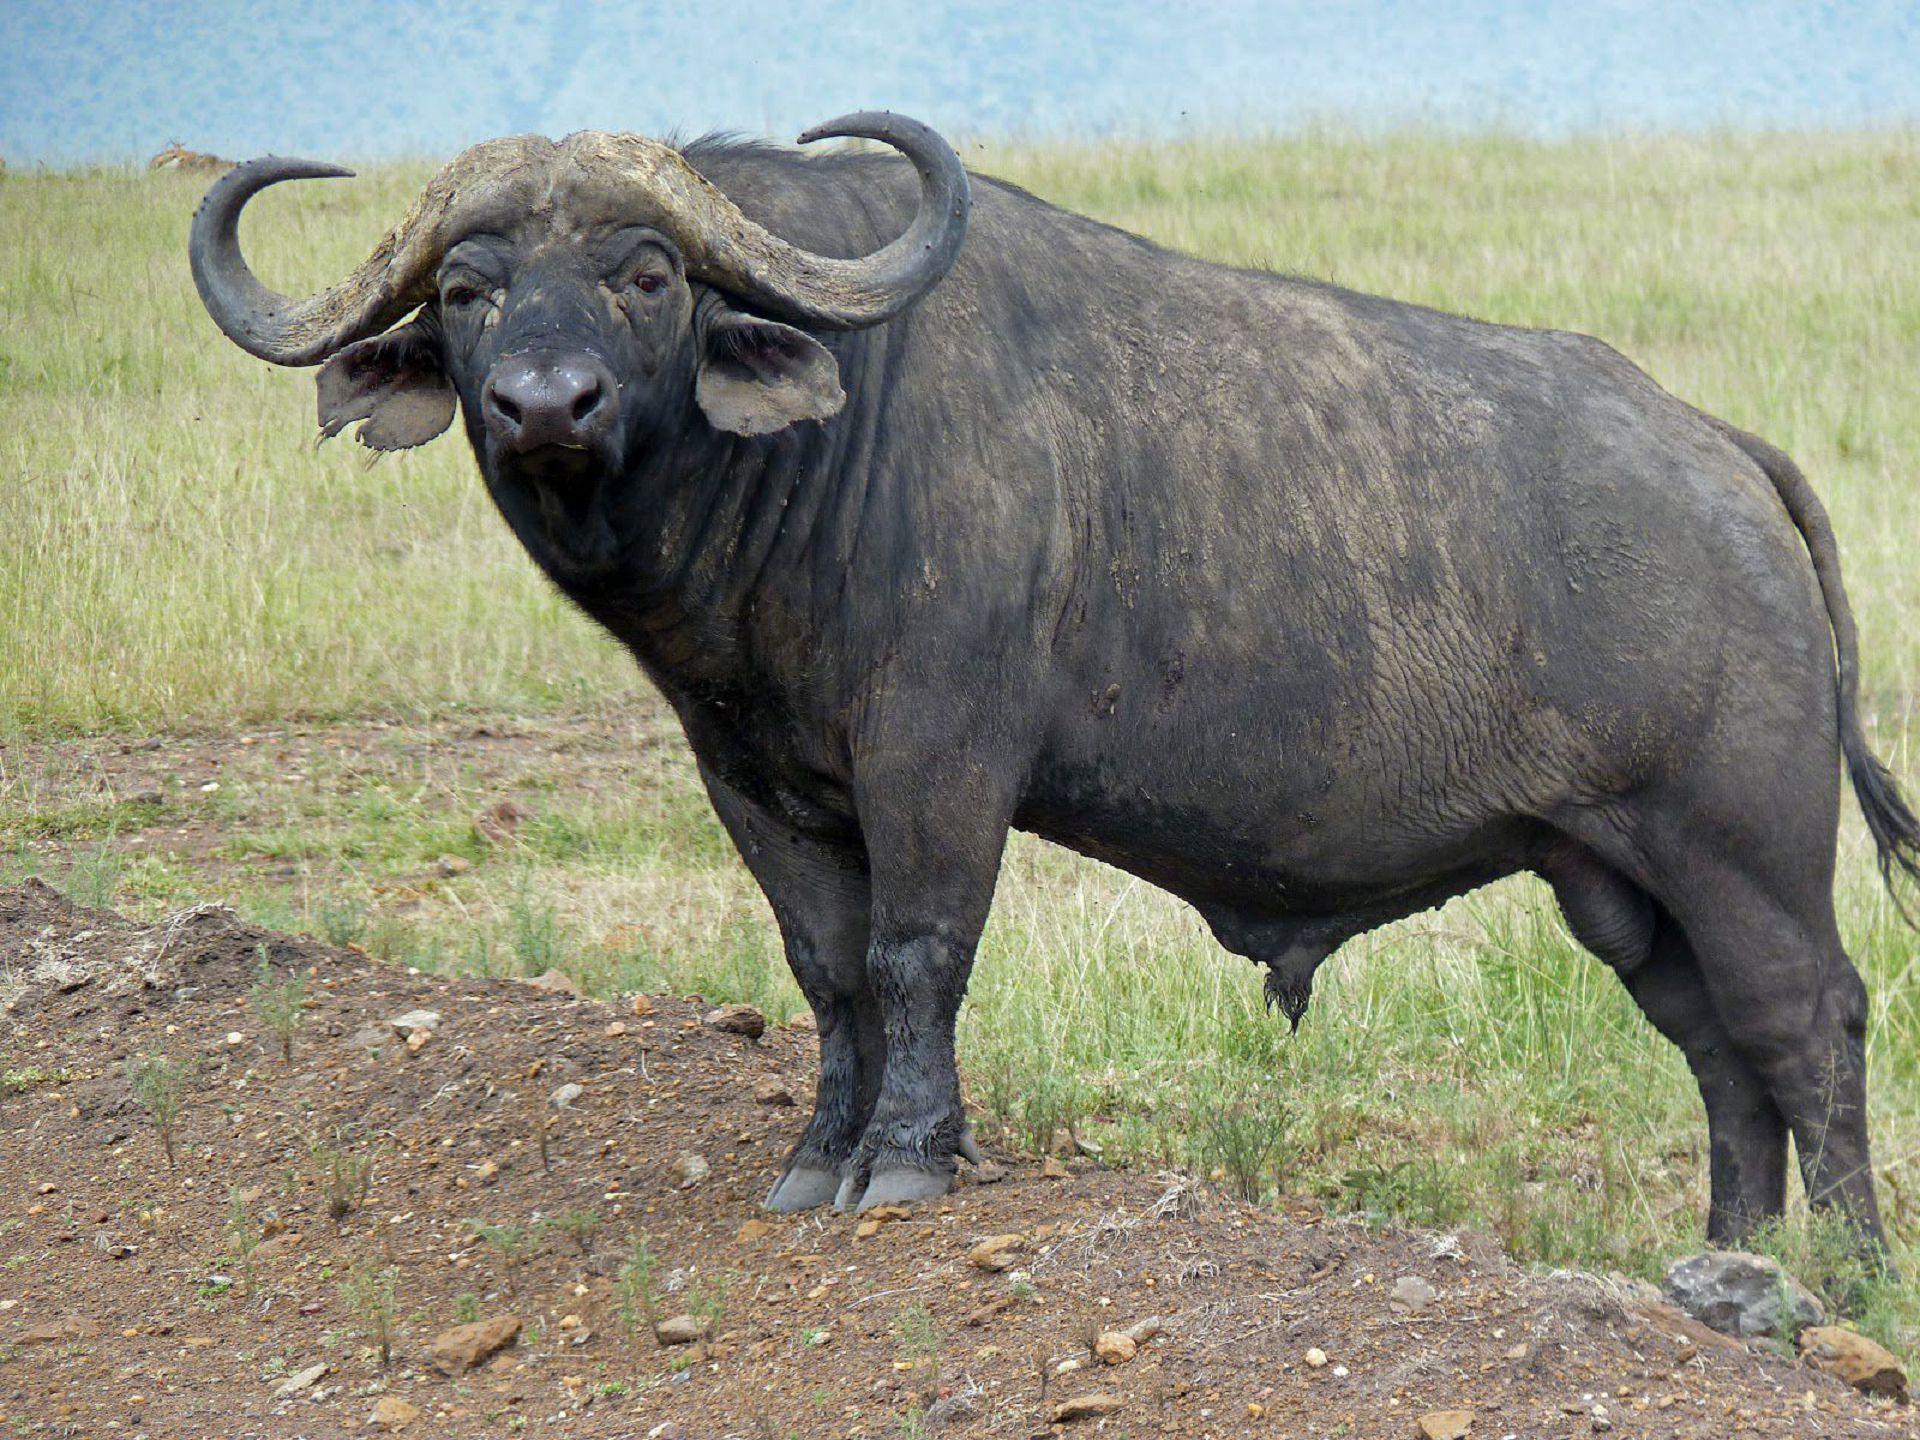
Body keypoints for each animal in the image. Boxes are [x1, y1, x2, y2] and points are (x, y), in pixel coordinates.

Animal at [189, 114, 1915, 1246]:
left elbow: (916, 957)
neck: (825, 451)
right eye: (467, 288)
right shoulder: (753, 783)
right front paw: (816, 1160)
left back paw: (1837, 1271)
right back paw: (1736, 1255)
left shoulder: (940, 763)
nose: (547, 405)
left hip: (1744, 851)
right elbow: (825, 970)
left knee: (1807, 1021)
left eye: (647, 275)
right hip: (1616, 883)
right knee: (1718, 1050)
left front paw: (909, 1161)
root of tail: (1721, 453)